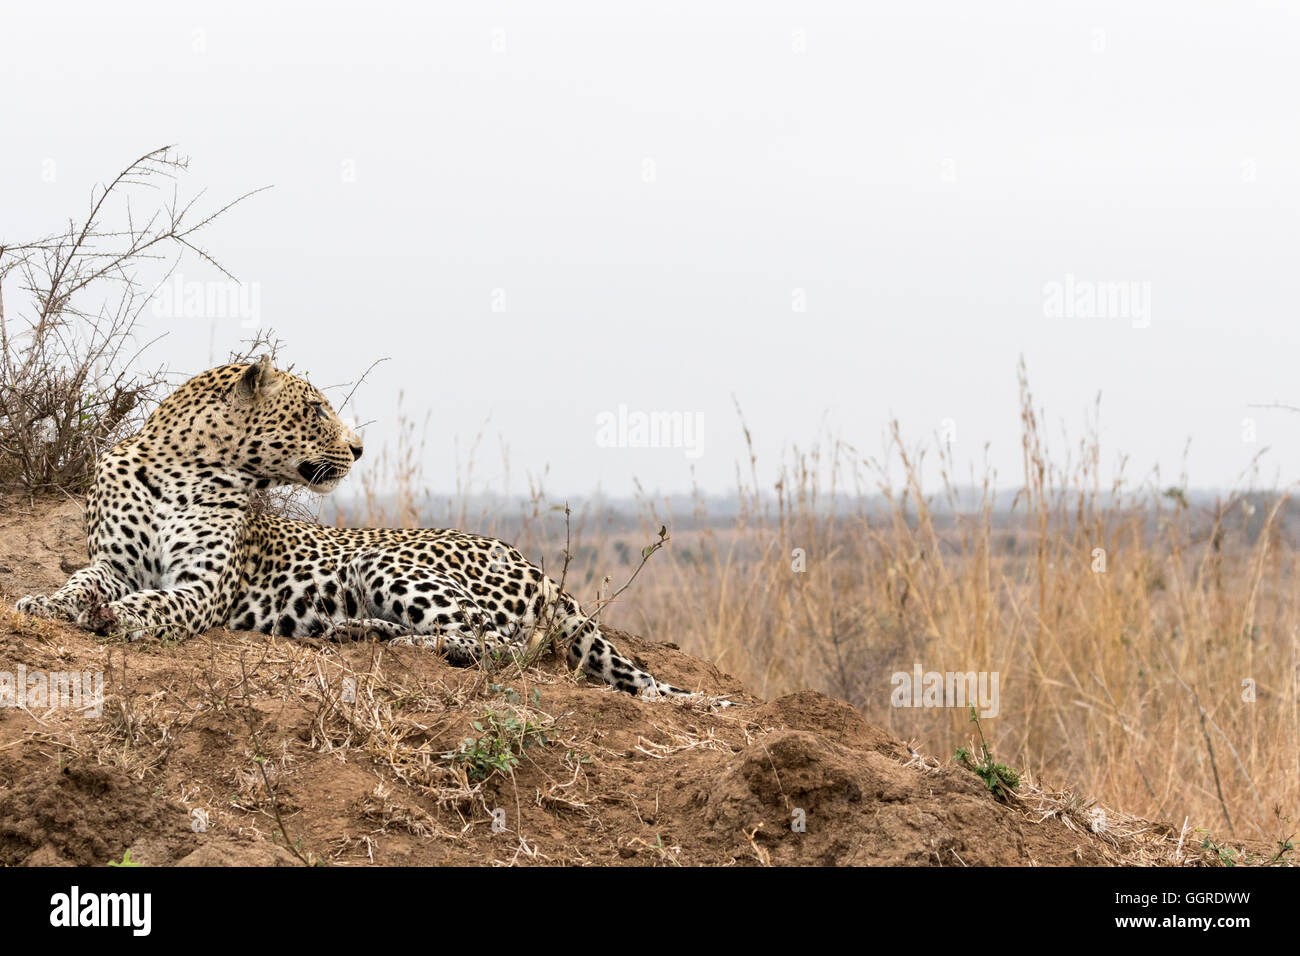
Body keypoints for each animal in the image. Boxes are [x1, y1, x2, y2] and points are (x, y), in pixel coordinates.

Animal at [15, 356, 706, 701]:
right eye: (316, 409)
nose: (360, 447)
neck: (185, 467)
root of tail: (530, 562)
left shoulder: (206, 585)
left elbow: (164, 602)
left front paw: (124, 616)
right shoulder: (113, 563)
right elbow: (80, 583)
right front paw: (43, 603)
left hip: (386, 563)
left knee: (505, 642)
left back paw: (406, 645)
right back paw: (357, 633)